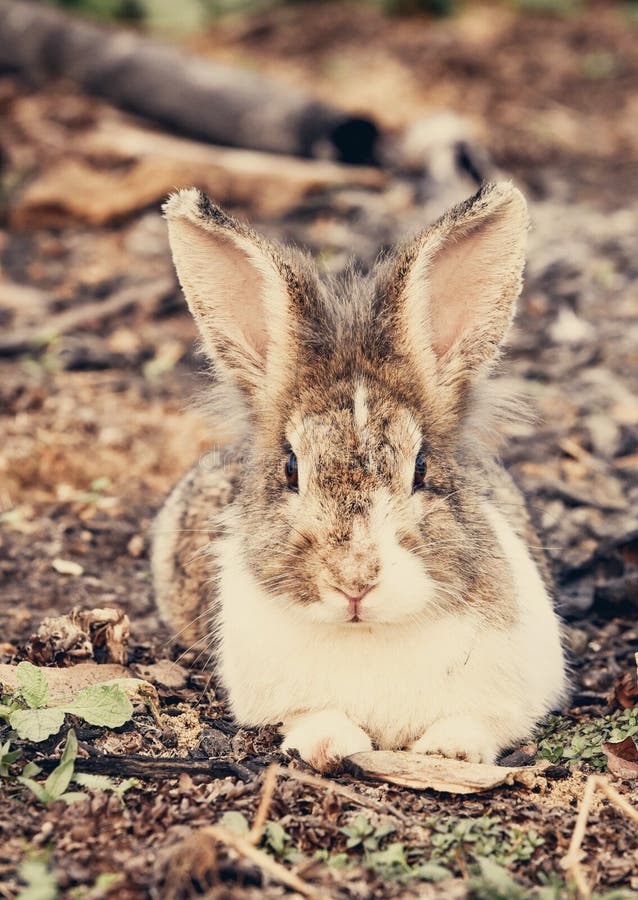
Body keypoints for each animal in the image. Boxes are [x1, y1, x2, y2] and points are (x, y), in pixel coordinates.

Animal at [152, 182, 567, 773]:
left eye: (420, 468)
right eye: (291, 468)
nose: (354, 581)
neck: (370, 630)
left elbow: (477, 724)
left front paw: (450, 751)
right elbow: (312, 716)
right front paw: (329, 745)